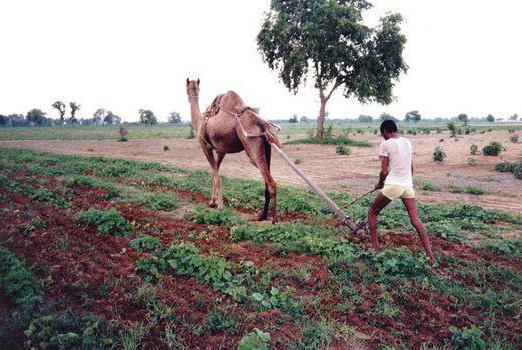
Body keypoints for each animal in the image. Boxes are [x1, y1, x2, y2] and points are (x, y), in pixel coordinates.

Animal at [186, 78, 280, 223]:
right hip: (267, 147)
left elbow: (215, 175)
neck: (200, 120)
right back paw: (261, 216)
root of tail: (263, 124)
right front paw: (212, 202)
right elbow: (214, 172)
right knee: (266, 180)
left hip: (252, 148)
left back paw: (274, 219)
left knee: (271, 183)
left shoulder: (205, 146)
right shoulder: (221, 150)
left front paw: (219, 206)